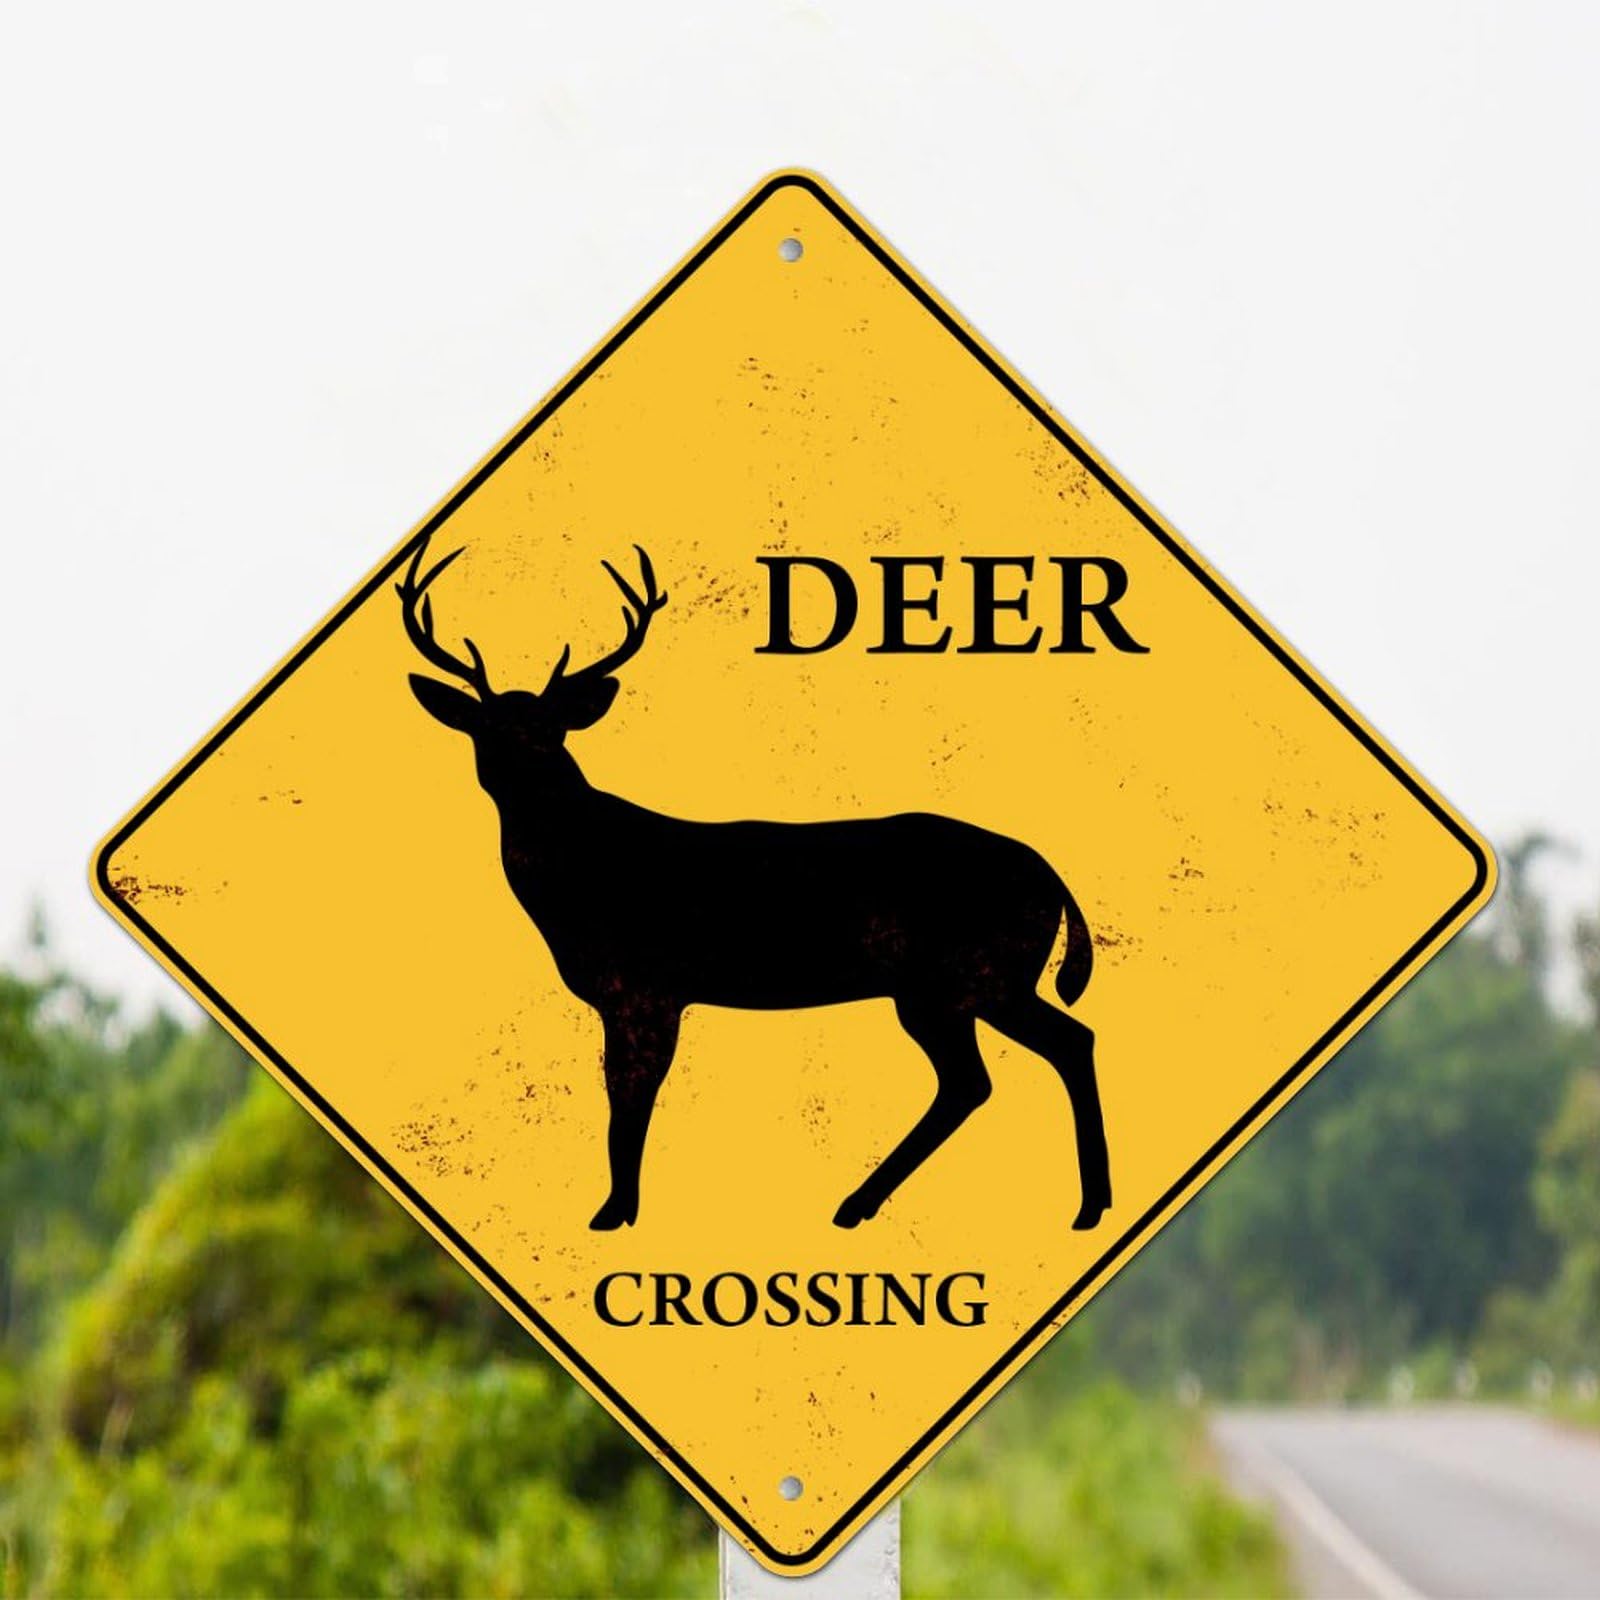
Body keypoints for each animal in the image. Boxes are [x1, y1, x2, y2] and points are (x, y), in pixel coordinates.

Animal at [397, 533, 1111, 1233]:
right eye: (487, 729)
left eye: (552, 729)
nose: (524, 773)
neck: (581, 878)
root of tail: (1051, 873)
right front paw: (620, 1211)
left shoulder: (648, 986)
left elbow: (628, 1099)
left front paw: (613, 1214)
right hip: (966, 984)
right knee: (1029, 1057)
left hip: (962, 977)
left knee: (1009, 1064)